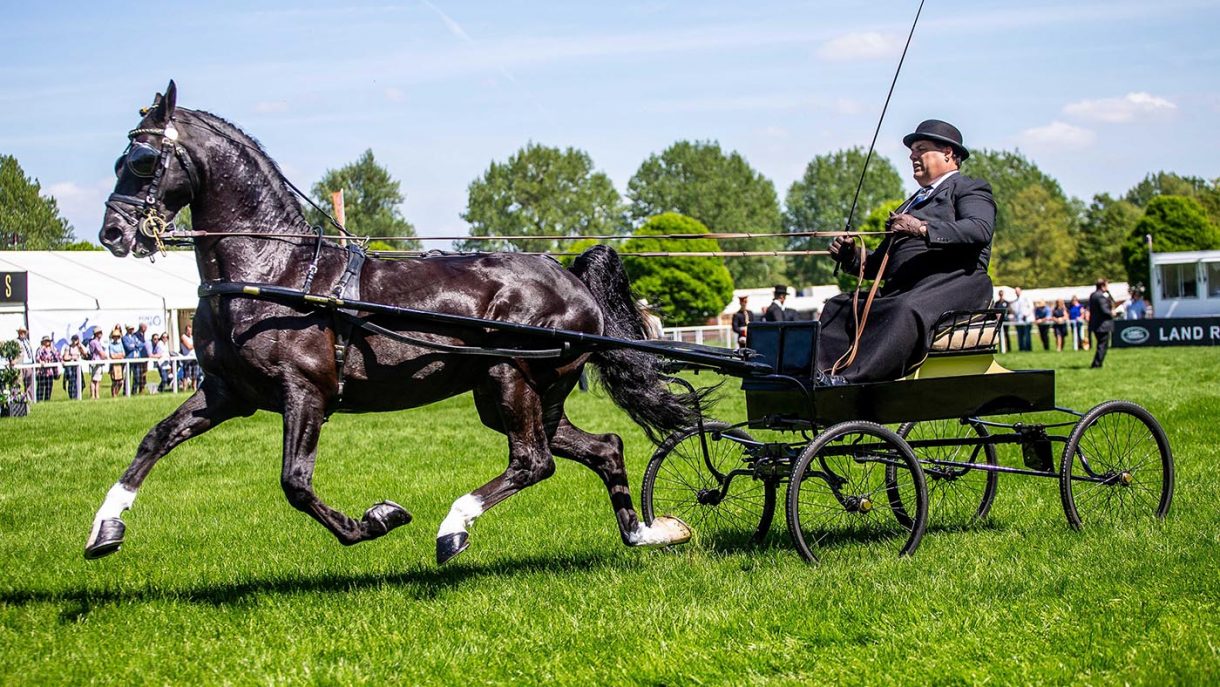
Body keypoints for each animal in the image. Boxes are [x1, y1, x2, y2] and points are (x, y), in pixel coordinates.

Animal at [88, 80, 699, 565]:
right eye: (119, 160)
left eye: (142, 160)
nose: (113, 234)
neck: (275, 272)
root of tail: (571, 278)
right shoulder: (226, 392)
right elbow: (154, 440)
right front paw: (105, 528)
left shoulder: (304, 391)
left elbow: (295, 483)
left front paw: (378, 518)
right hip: (517, 393)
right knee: (603, 447)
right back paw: (646, 533)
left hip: (510, 376)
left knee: (534, 461)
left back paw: (453, 527)